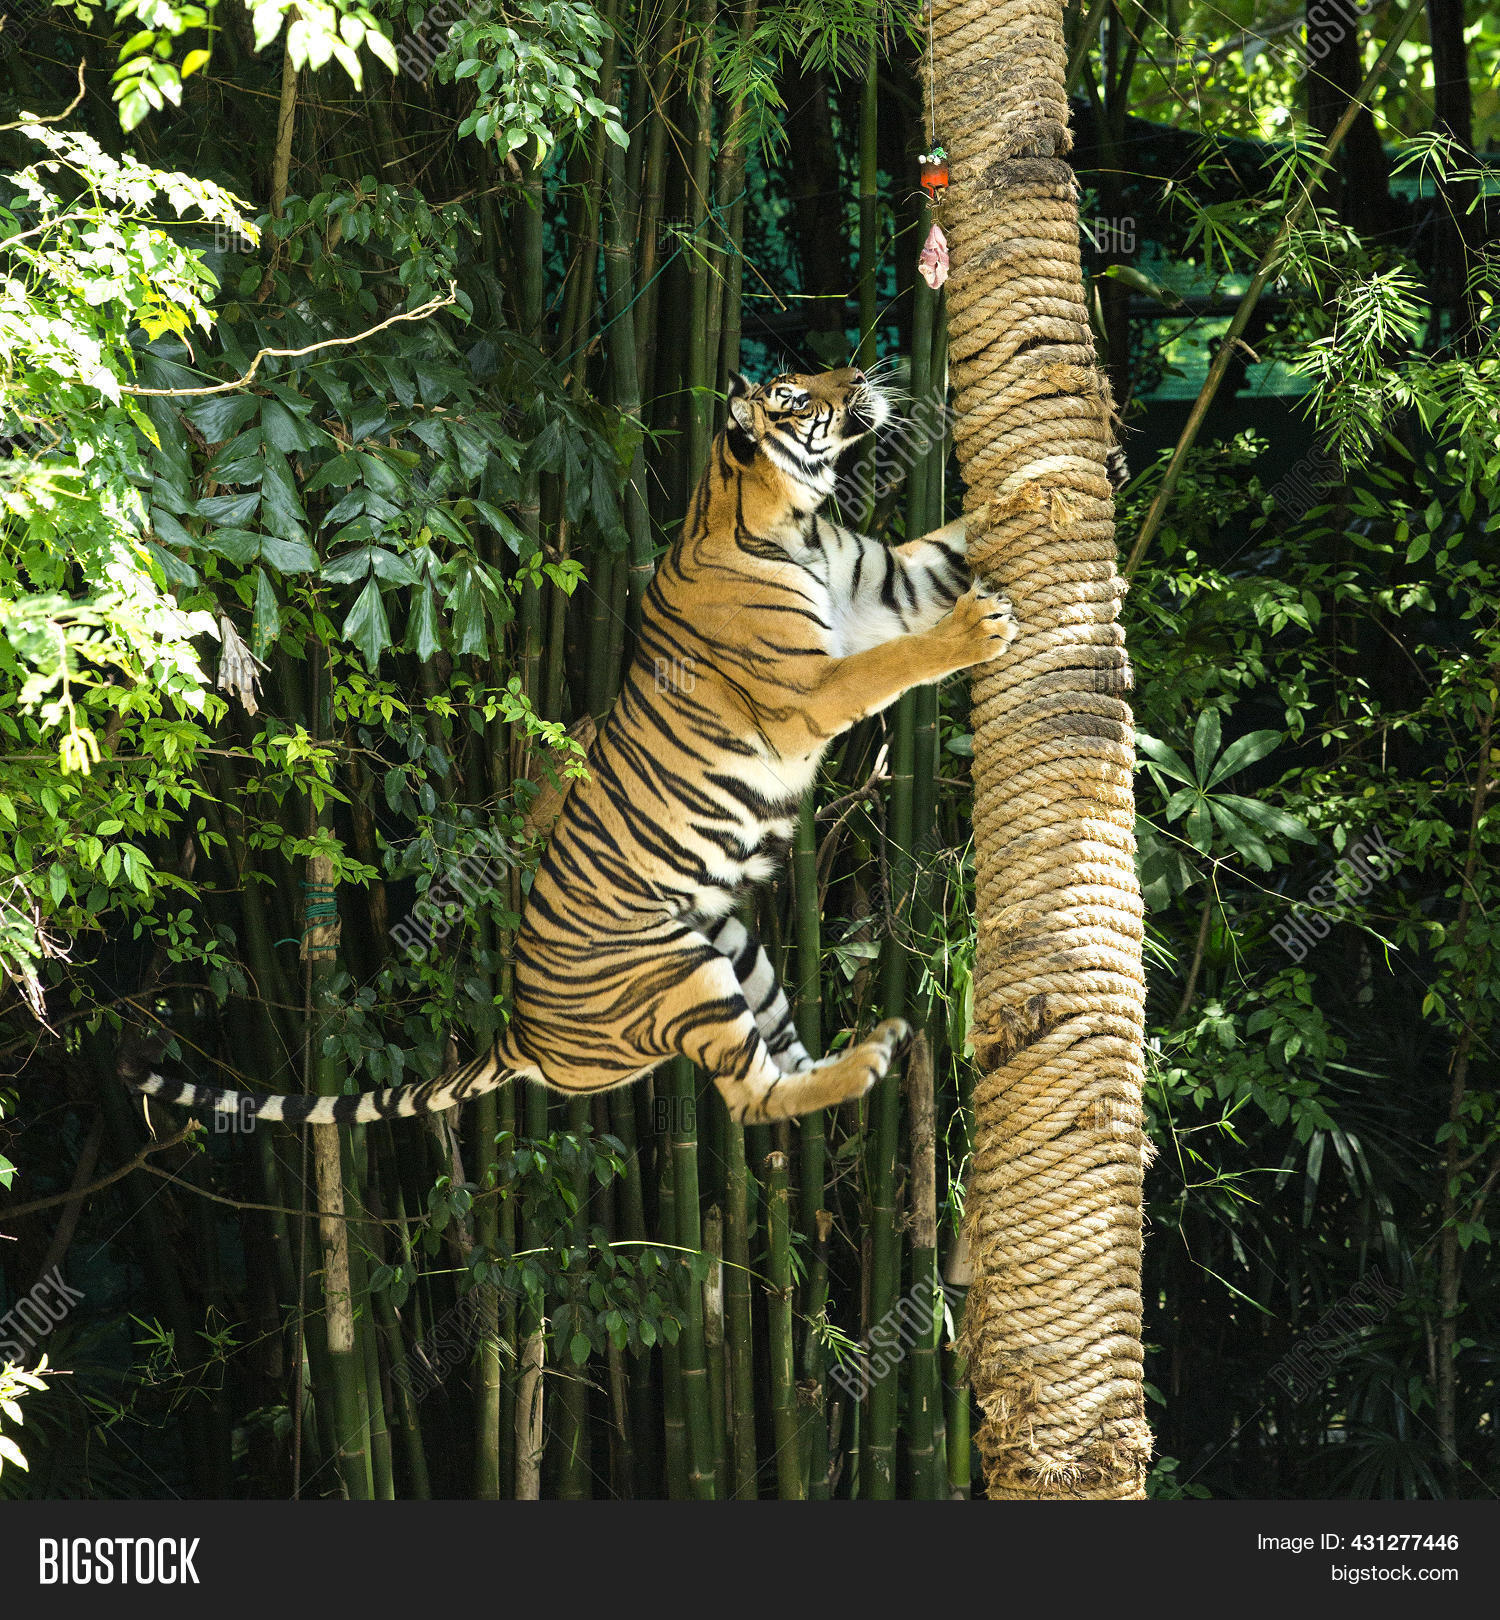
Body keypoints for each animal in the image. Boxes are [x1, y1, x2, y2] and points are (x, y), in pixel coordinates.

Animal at [128, 366, 1017, 1129]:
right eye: (794, 398)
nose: (860, 377)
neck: (792, 518)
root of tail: (519, 1033)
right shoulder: (806, 692)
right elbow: (894, 660)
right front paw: (976, 626)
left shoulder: (888, 584)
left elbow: (950, 543)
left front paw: (1040, 466)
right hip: (684, 975)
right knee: (752, 1096)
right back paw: (865, 1061)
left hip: (734, 948)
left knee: (780, 1065)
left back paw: (875, 1046)